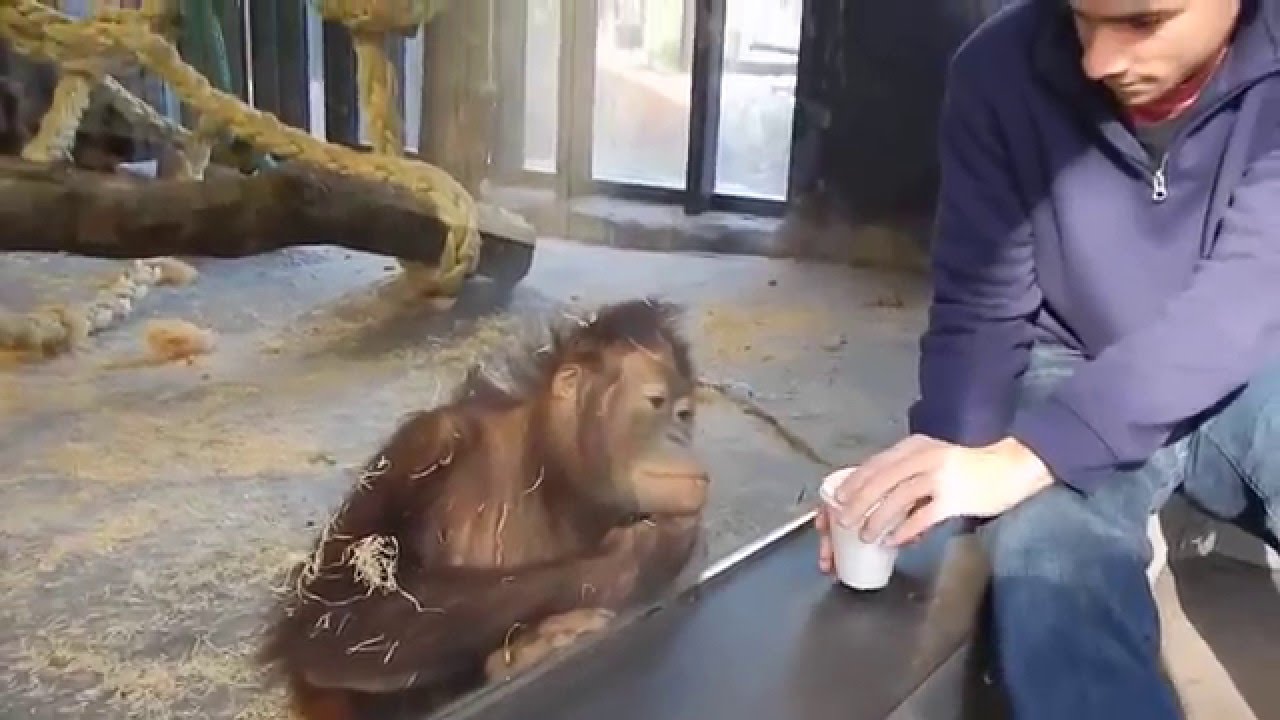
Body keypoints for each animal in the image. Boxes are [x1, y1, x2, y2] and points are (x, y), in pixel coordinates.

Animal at [258, 298, 712, 720]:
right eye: (656, 402)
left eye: (685, 414)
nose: (679, 436)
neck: (546, 468)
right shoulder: (425, 444)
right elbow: (332, 614)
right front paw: (638, 554)